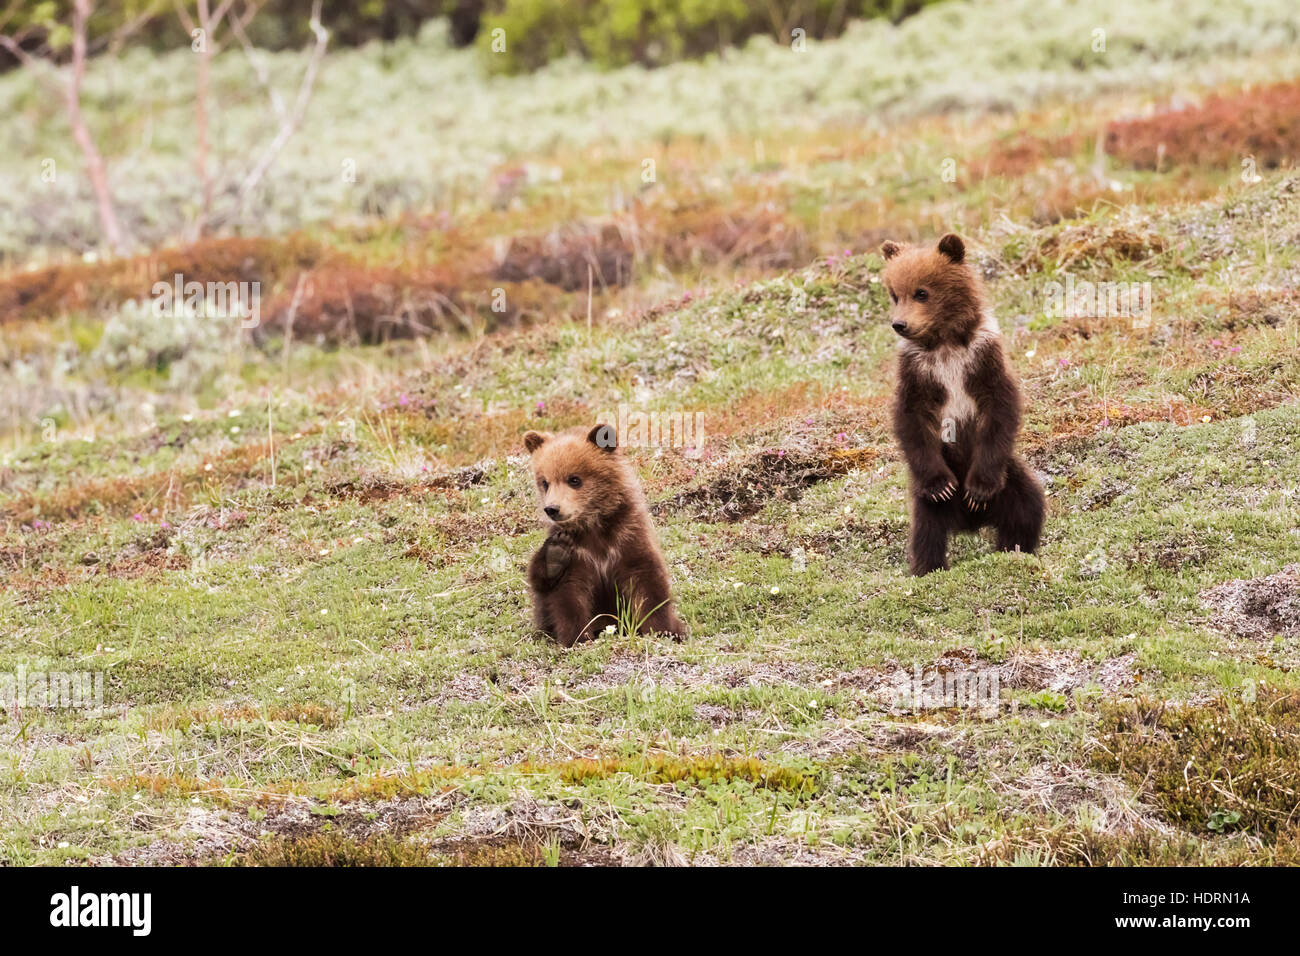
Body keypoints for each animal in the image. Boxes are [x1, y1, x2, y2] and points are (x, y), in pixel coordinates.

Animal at [522, 424, 687, 646]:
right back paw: (553, 557)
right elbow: (568, 597)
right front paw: (578, 638)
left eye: (574, 479)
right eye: (545, 482)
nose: (552, 509)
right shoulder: (577, 555)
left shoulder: (627, 537)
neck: (594, 527)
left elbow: (648, 583)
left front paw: (662, 630)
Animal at [879, 233, 1045, 575]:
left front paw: (979, 490)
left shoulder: (983, 360)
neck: (945, 345)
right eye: (894, 294)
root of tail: (971, 522)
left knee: (1028, 508)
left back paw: (1014, 549)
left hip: (1012, 478)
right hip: (927, 503)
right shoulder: (917, 373)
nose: (899, 324)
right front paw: (940, 485)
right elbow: (911, 420)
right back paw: (928, 566)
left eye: (922, 292)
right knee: (927, 532)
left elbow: (1001, 409)